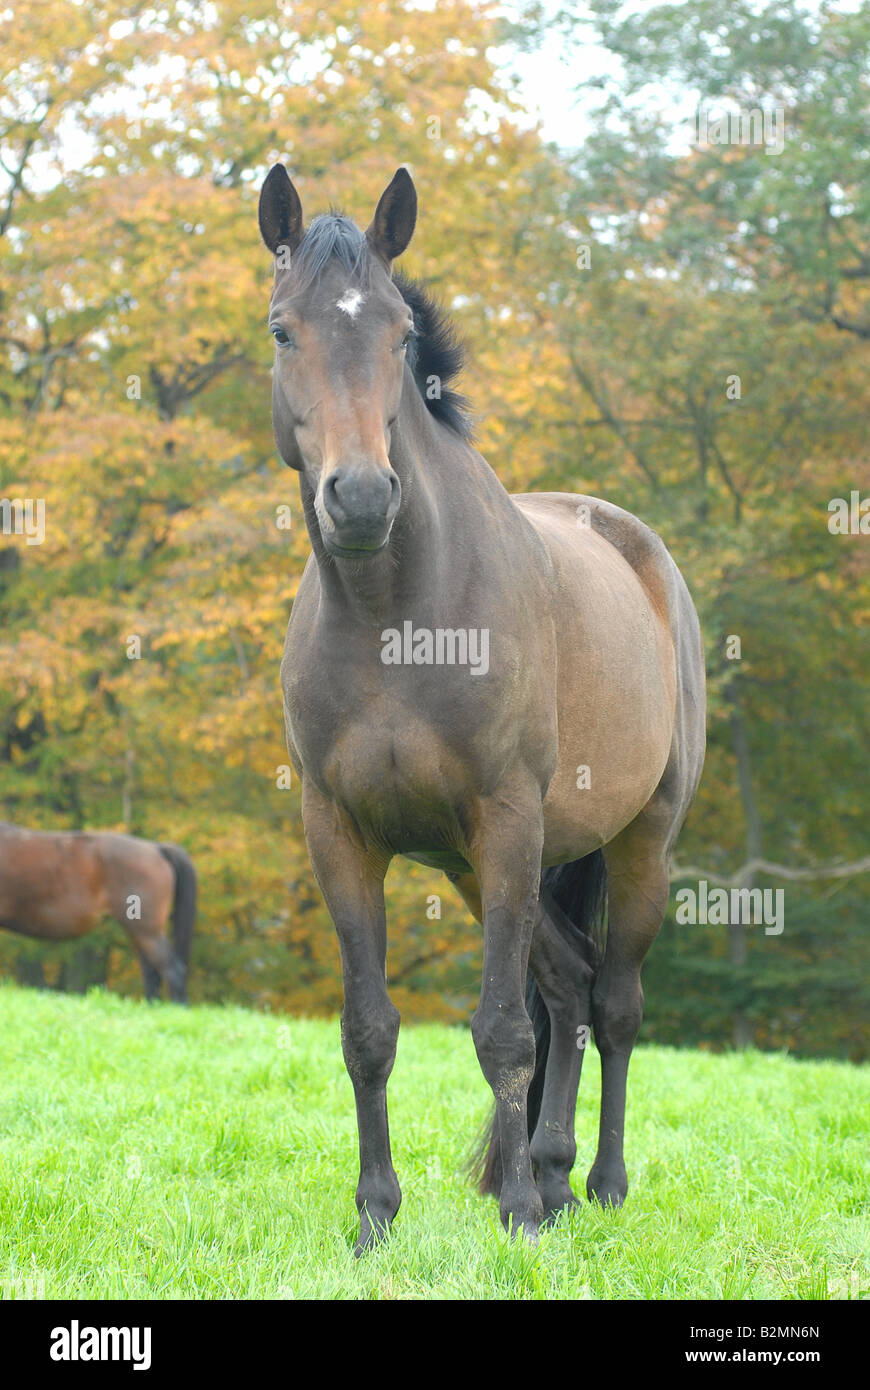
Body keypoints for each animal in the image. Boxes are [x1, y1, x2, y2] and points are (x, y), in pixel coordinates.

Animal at [257, 163, 706, 1254]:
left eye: (397, 335)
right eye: (284, 329)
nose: (361, 498)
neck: (397, 618)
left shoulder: (506, 819)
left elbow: (501, 1030)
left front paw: (514, 1221)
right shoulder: (340, 834)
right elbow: (369, 1031)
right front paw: (376, 1218)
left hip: (635, 843)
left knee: (613, 1003)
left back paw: (597, 1186)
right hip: (476, 867)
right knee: (568, 984)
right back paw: (549, 1173)